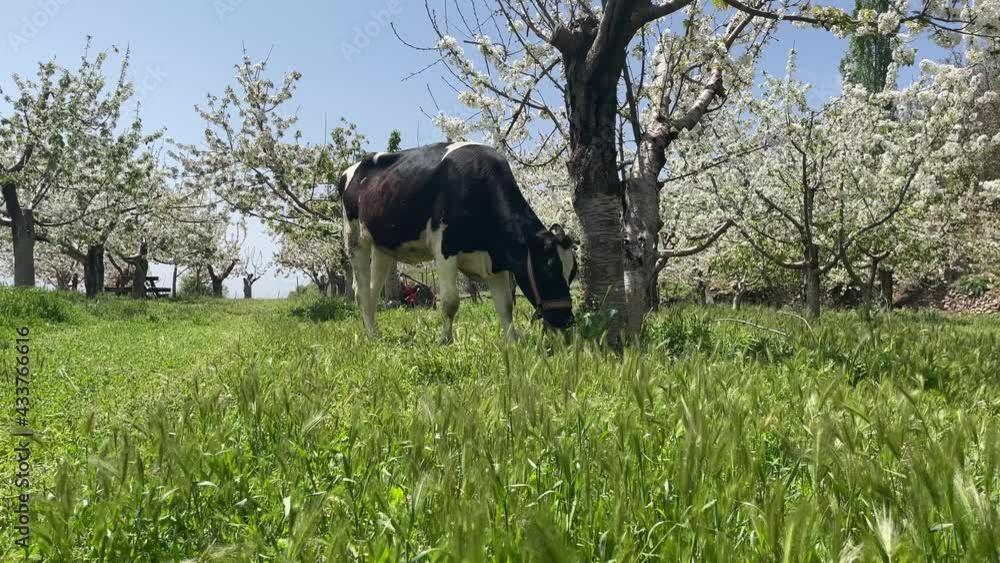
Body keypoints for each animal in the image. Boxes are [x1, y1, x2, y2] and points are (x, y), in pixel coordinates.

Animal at [338, 142, 577, 343]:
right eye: (548, 270)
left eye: (572, 274)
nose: (566, 320)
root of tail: (351, 168)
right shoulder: (444, 247)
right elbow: (450, 300)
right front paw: (445, 341)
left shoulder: (494, 259)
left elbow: (505, 304)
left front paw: (513, 342)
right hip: (354, 236)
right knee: (361, 289)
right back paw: (371, 335)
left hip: (382, 246)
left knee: (373, 289)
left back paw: (373, 331)